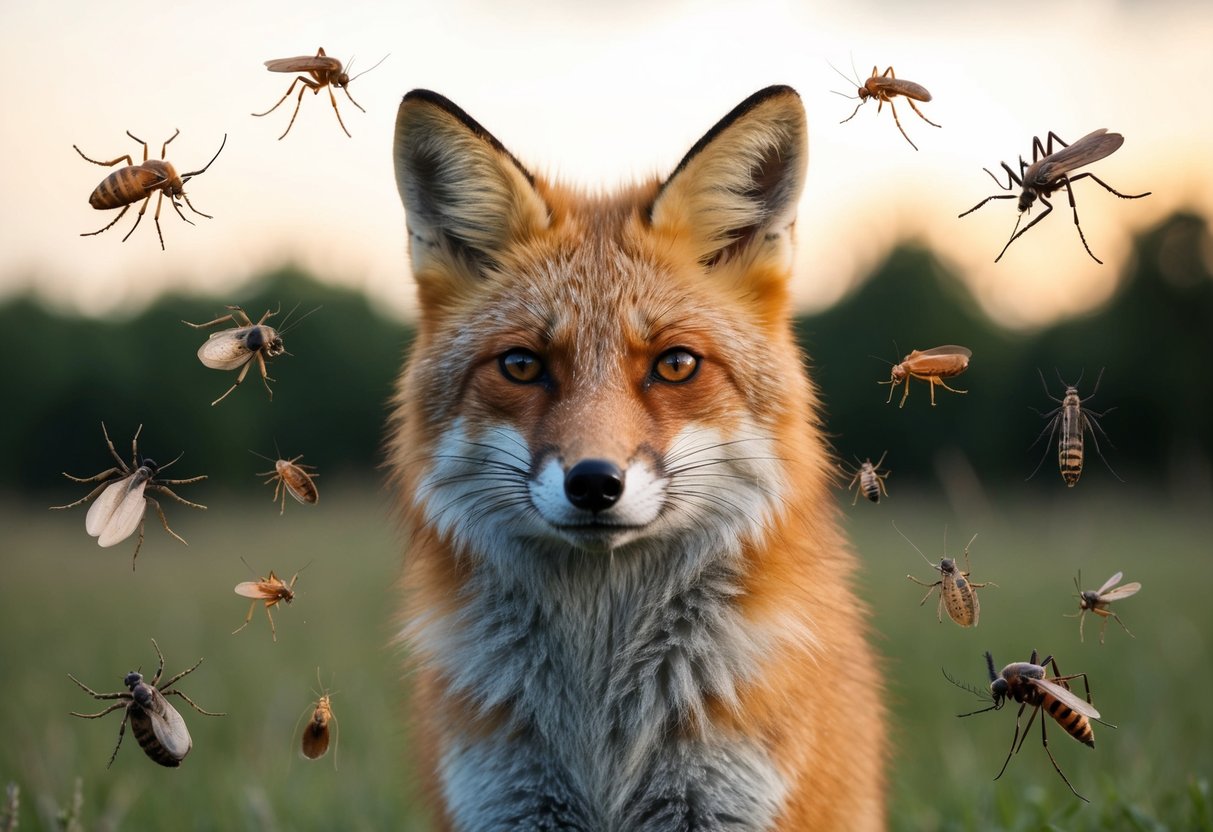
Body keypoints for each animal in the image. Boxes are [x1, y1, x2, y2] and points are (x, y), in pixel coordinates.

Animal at [388, 86, 887, 830]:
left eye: (675, 365)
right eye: (521, 365)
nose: (594, 483)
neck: (601, 727)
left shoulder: (722, 801)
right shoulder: (509, 803)